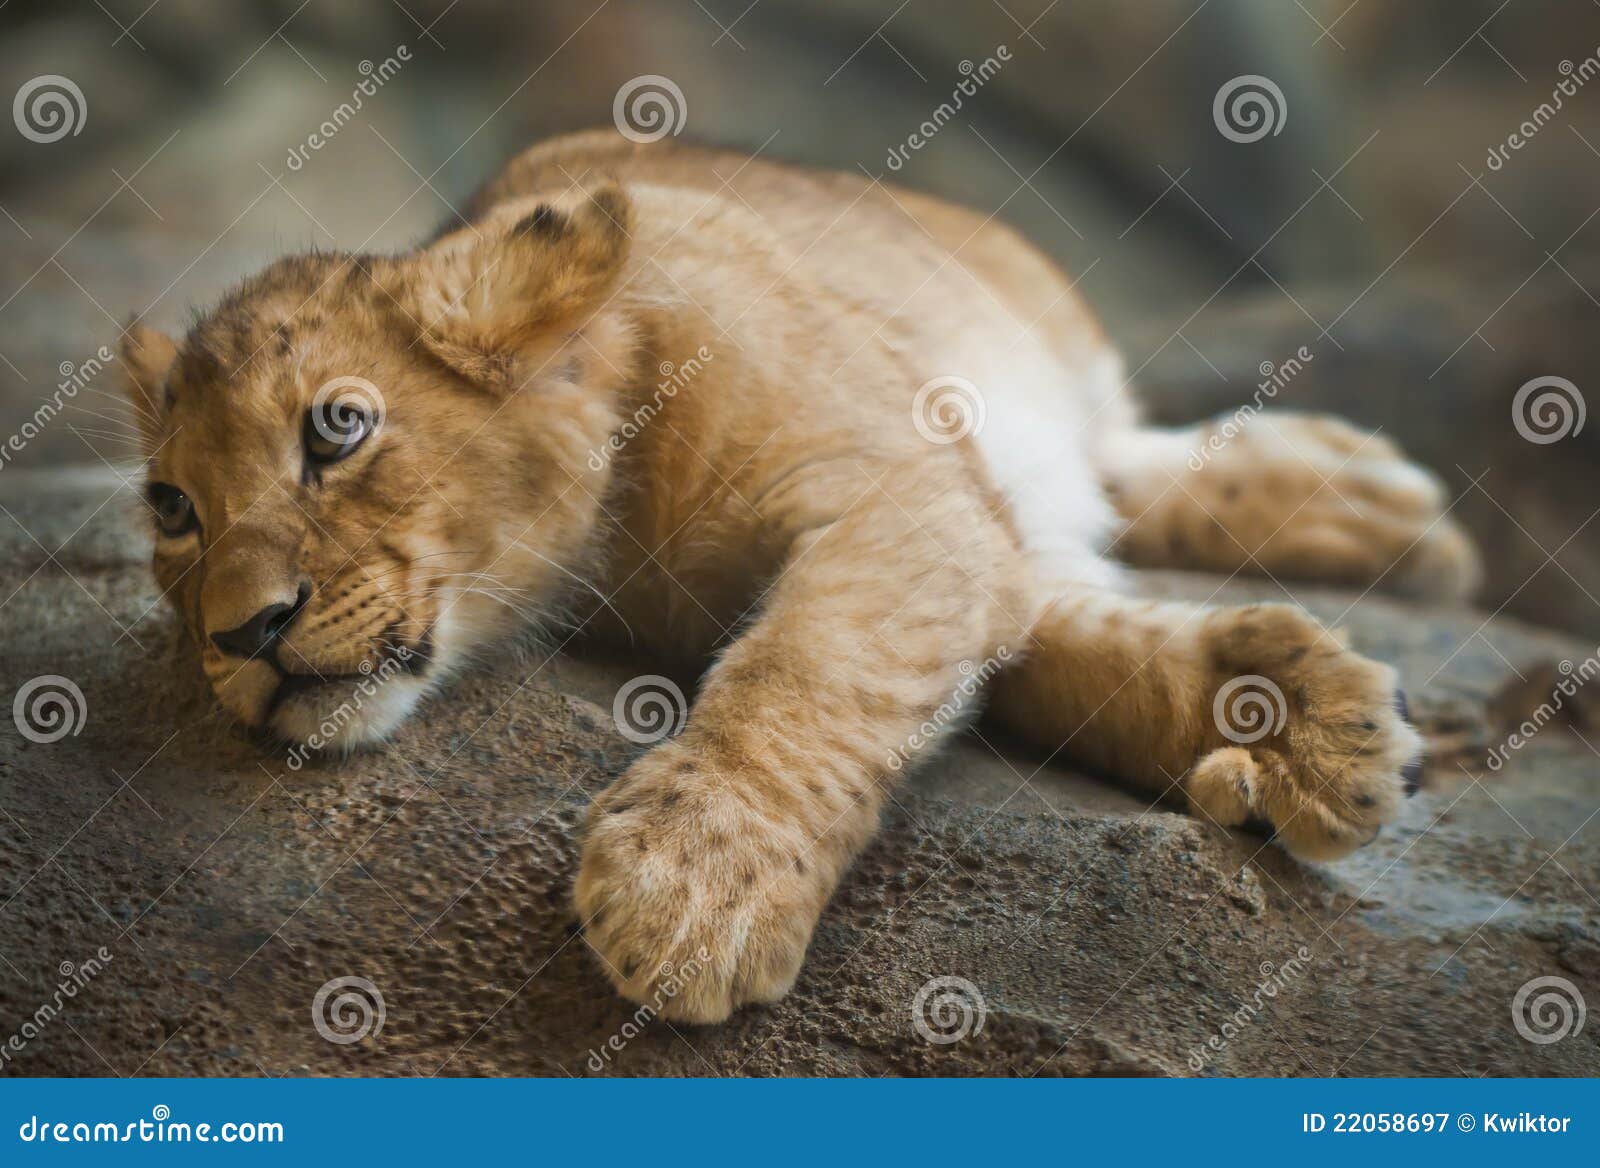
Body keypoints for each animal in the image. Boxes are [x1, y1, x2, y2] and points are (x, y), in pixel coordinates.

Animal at [117, 129, 1480, 1023]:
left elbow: (808, 667)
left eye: (338, 429)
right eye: (173, 508)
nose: (239, 636)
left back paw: (1380, 507)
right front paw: (1292, 722)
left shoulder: (901, 490)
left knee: (1122, 454)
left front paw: (690, 887)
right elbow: (1093, 661)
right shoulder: (979, 546)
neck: (605, 528)